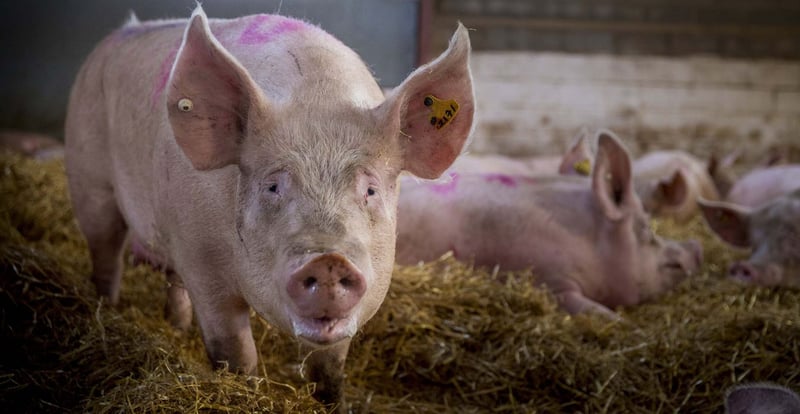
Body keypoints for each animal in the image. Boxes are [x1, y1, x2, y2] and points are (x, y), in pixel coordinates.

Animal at [64, 6, 474, 408]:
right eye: (273, 186)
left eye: (370, 190)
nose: (328, 261)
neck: (317, 96)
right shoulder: (201, 260)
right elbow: (234, 351)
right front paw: (244, 389)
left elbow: (329, 369)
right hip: (89, 180)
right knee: (106, 254)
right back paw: (107, 309)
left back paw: (175, 327)